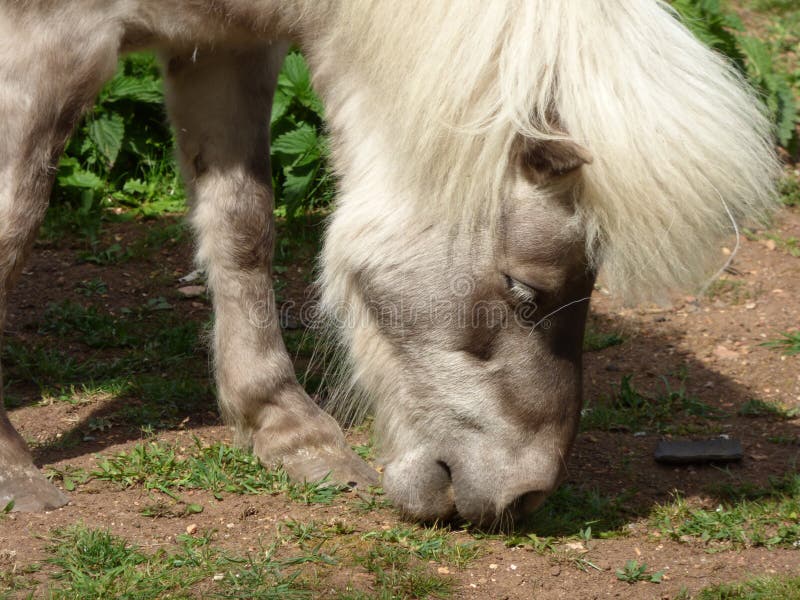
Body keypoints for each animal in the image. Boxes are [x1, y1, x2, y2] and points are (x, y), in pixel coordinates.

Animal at [0, 0, 779, 527]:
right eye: (525, 288)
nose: (525, 495)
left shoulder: (226, 44)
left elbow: (243, 227)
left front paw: (288, 430)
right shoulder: (46, 38)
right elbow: (14, 225)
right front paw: (12, 471)